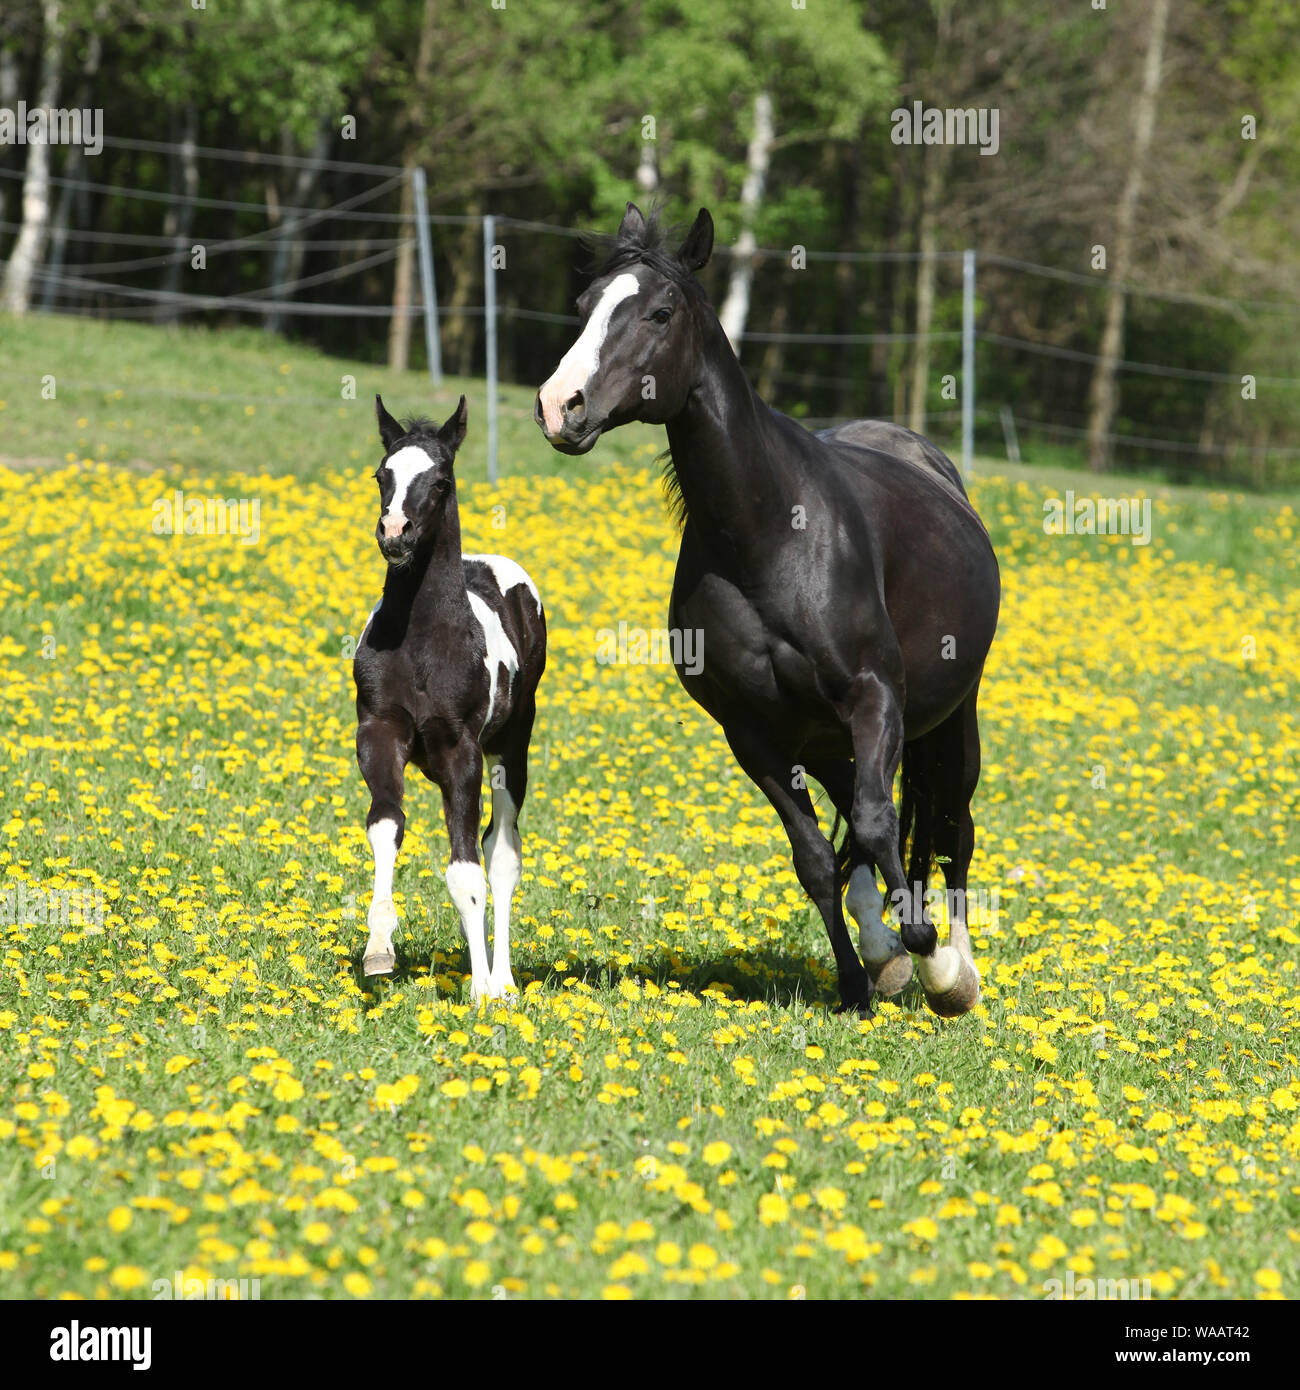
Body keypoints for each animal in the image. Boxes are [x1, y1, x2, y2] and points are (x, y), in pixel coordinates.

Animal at [354, 394, 546, 1001]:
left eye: (441, 480)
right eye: (382, 474)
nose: (395, 531)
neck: (421, 644)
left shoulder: (462, 751)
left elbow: (467, 869)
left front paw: (483, 989)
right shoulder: (379, 733)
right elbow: (386, 823)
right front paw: (379, 948)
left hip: (512, 745)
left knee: (501, 853)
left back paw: (503, 982)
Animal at [535, 204, 999, 1019]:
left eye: (658, 313)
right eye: (585, 307)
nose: (561, 406)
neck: (766, 534)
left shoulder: (875, 698)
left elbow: (883, 822)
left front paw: (929, 955)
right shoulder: (751, 733)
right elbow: (815, 857)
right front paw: (861, 979)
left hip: (948, 721)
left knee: (948, 827)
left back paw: (956, 974)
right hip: (826, 741)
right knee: (863, 832)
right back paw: (886, 955)